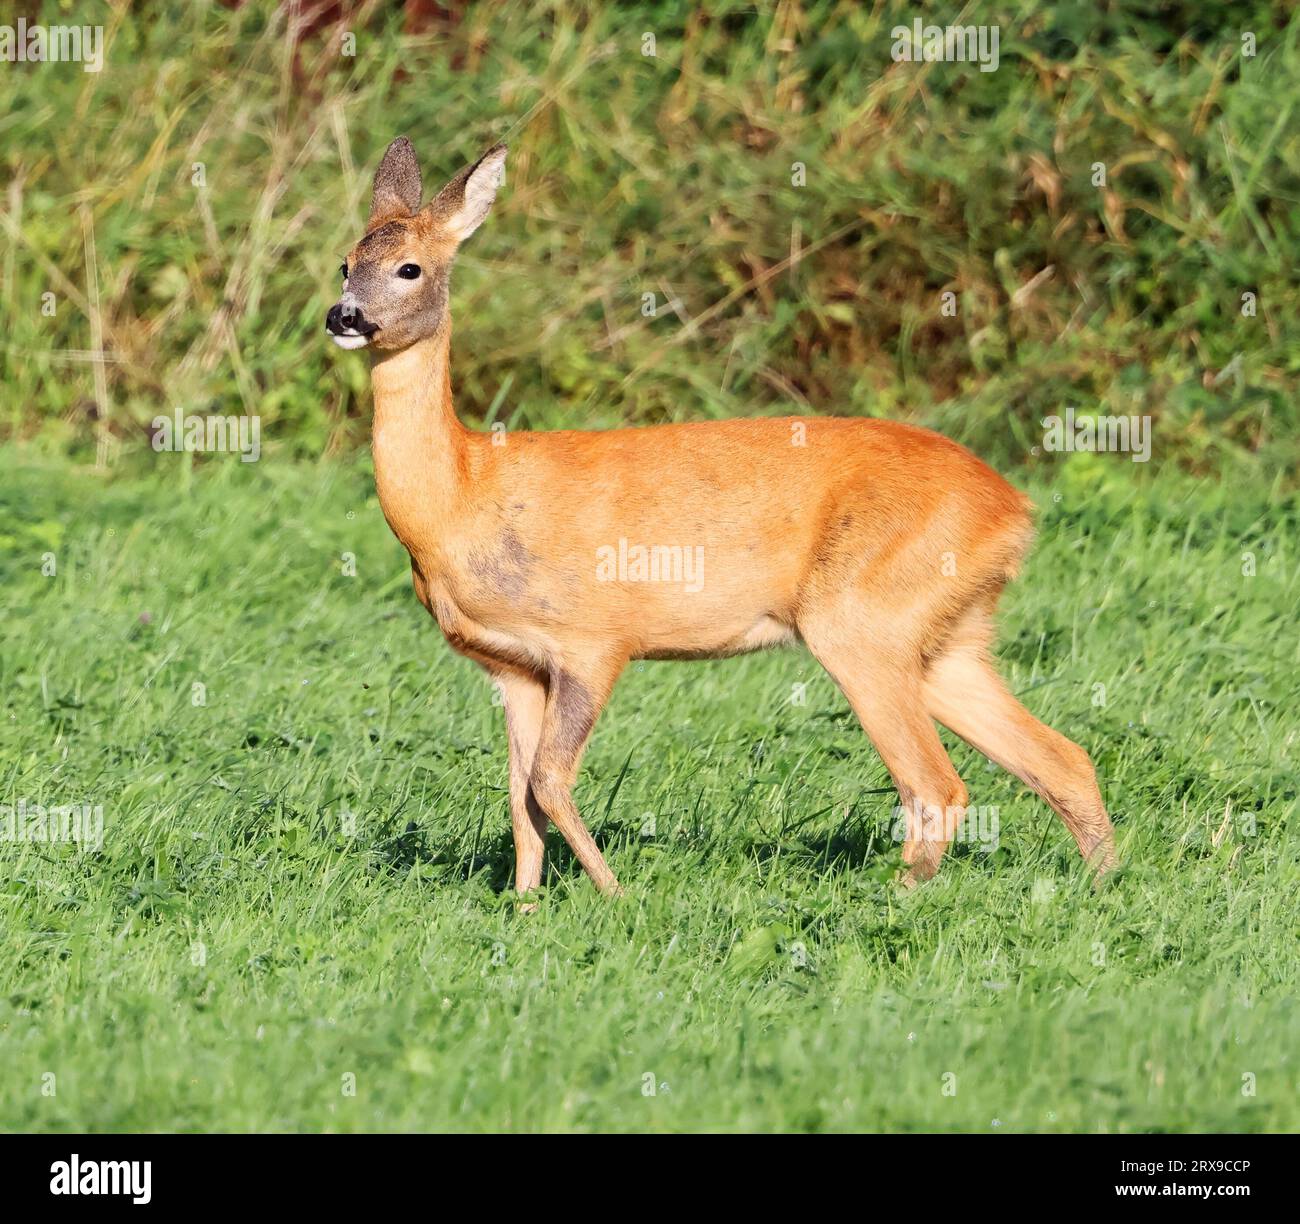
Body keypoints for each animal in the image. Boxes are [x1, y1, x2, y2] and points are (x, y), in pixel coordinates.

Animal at [325, 136, 1119, 901]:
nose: (344, 316)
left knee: (937, 784)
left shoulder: (594, 639)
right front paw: (524, 905)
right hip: (947, 637)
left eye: (409, 268)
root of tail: (1014, 509)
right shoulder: (513, 666)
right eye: (345, 262)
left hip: (864, 617)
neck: (462, 496)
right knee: (1064, 757)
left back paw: (892, 899)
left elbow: (549, 782)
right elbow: (520, 796)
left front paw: (613, 893)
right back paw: (1101, 884)